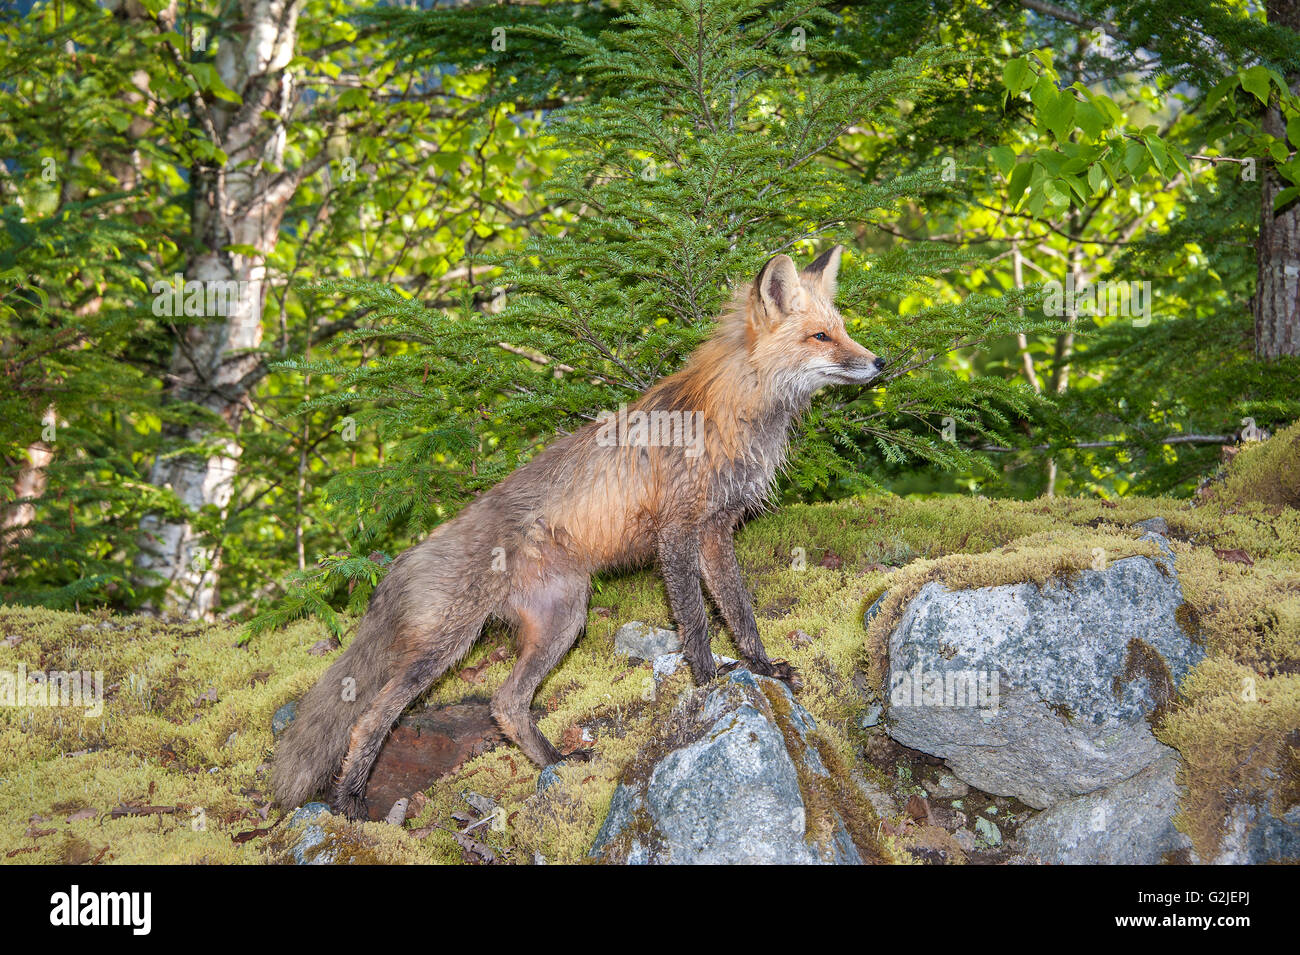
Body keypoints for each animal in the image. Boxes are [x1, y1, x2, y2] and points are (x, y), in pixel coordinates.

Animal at [272, 246, 886, 820]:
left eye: (843, 329)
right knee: (372, 717)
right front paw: (709, 680)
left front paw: (761, 667)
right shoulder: (677, 530)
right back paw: (348, 801)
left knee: (506, 703)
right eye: (821, 336)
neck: (731, 411)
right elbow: (694, 621)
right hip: (446, 647)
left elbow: (740, 611)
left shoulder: (716, 530)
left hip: (563, 622)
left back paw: (555, 762)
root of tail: (403, 559)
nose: (879, 361)